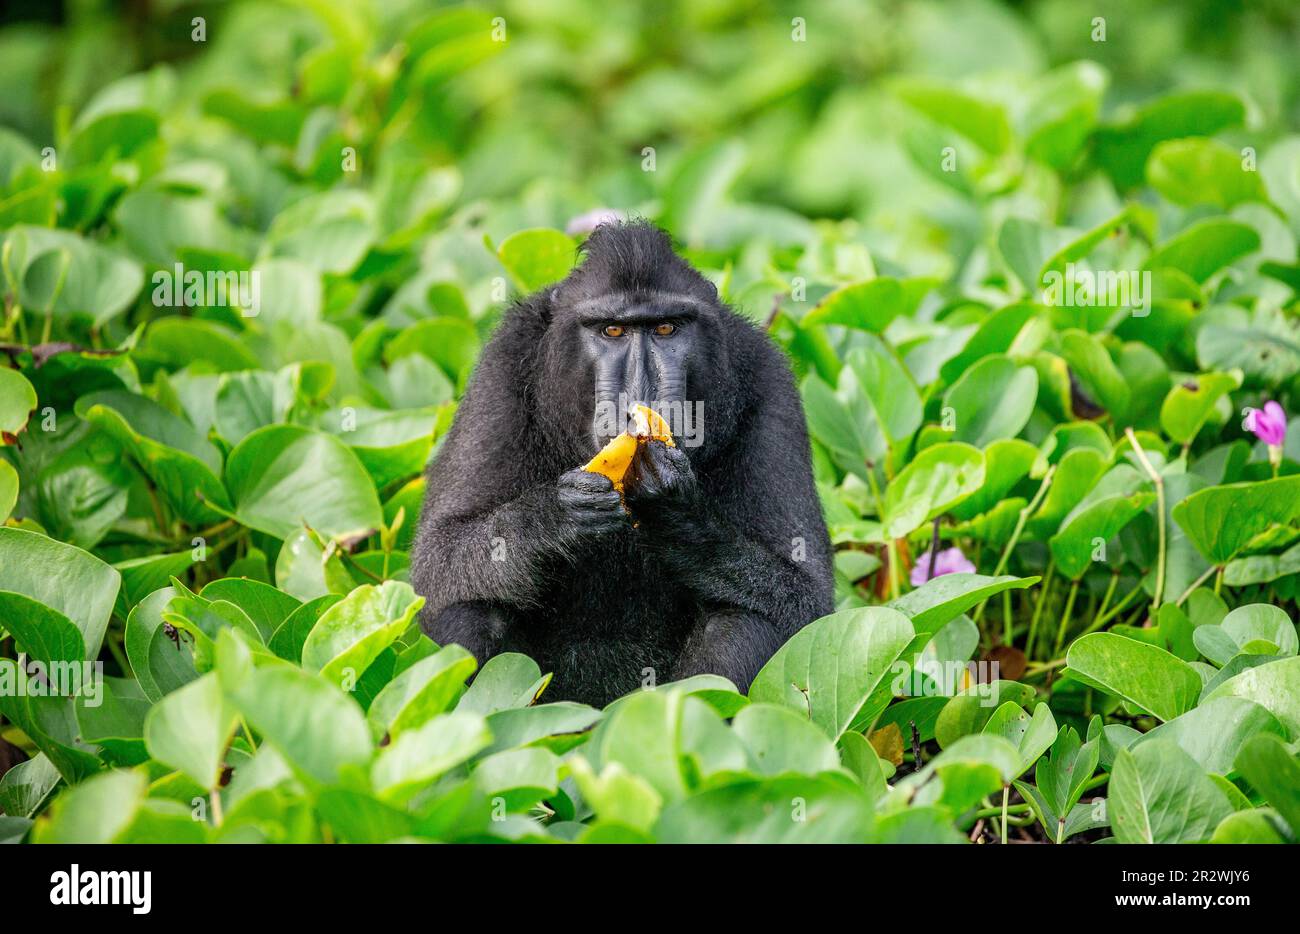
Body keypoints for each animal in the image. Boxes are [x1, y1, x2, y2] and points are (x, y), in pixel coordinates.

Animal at [410, 221, 833, 707]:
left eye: (666, 328)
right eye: (611, 330)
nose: (640, 391)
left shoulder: (770, 381)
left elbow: (806, 595)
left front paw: (676, 513)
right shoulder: (500, 368)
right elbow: (437, 562)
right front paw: (555, 517)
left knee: (743, 619)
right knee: (471, 608)